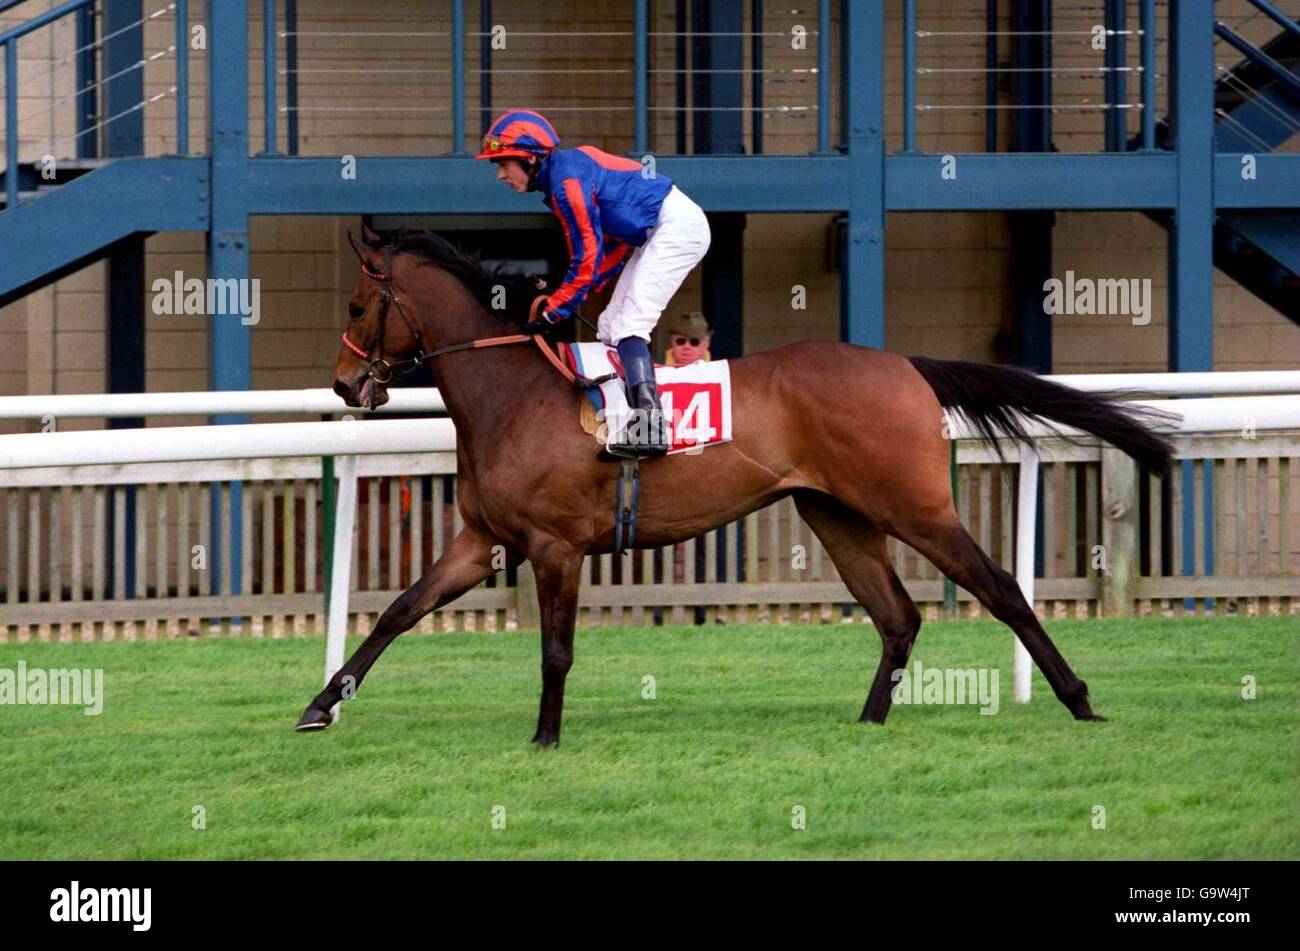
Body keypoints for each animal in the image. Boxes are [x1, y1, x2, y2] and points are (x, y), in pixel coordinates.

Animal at [295, 225, 1174, 746]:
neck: (513, 394)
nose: (343, 384)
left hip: (914, 504)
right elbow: (400, 610)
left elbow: (555, 649)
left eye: (359, 303)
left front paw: (545, 737)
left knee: (999, 587)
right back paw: (867, 721)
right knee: (897, 615)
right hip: (836, 513)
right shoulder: (483, 542)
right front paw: (319, 704)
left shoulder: (555, 545)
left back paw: (1078, 697)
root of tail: (904, 364)